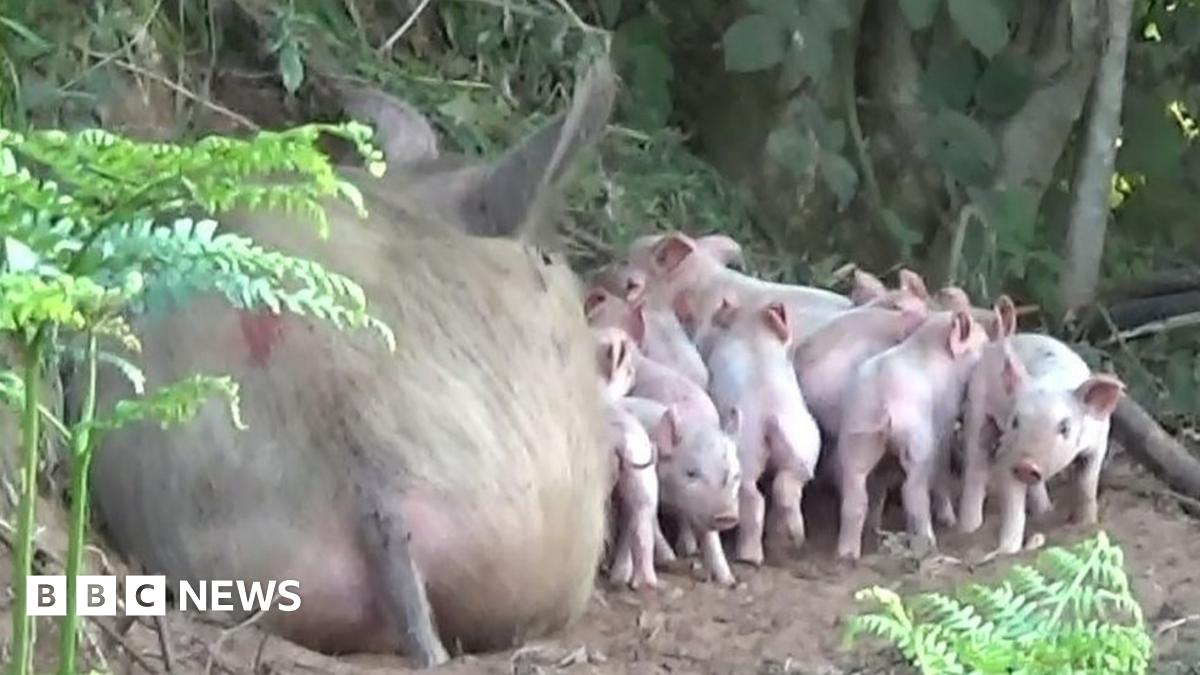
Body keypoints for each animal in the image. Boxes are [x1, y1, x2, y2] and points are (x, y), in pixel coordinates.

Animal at [621, 396, 743, 586]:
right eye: (691, 473)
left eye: (736, 475)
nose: (728, 516)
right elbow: (652, 519)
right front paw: (669, 557)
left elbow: (711, 536)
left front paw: (728, 580)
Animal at [704, 299, 822, 564]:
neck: (752, 334)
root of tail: (769, 416)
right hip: (803, 442)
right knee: (787, 486)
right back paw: (790, 541)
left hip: (745, 448)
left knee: (752, 495)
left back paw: (749, 557)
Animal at [834, 309, 991, 561]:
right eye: (983, 344)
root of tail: (882, 395)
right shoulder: (944, 419)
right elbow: (942, 464)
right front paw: (948, 520)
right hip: (916, 436)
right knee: (913, 490)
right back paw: (929, 543)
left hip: (857, 433)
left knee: (856, 494)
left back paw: (849, 554)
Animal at [960, 331, 1125, 556]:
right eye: (1015, 421)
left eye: (1065, 427)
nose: (1027, 465)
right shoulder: (1009, 453)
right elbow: (1012, 503)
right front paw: (1008, 550)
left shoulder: (1099, 441)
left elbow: (1087, 484)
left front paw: (1086, 524)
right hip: (976, 406)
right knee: (976, 464)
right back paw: (968, 528)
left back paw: (1046, 511)